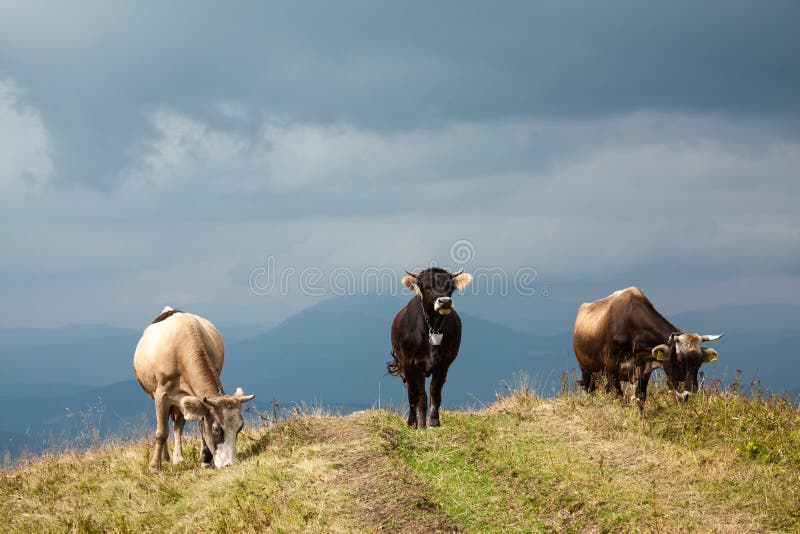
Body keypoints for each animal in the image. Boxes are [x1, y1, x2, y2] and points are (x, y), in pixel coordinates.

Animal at [133, 307, 255, 470]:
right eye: (217, 429)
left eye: (240, 427)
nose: (230, 464)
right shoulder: (161, 395)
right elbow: (161, 432)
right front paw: (154, 466)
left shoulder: (199, 399)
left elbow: (201, 424)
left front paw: (205, 460)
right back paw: (165, 457)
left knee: (178, 425)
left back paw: (178, 458)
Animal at [387, 267, 473, 428]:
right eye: (427, 287)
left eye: (450, 287)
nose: (445, 302)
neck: (432, 327)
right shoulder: (410, 364)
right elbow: (414, 394)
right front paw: (412, 423)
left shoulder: (444, 363)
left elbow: (435, 391)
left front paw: (433, 421)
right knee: (418, 395)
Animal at [573, 287, 723, 408]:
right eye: (679, 362)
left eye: (699, 363)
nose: (691, 394)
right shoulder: (611, 367)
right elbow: (619, 397)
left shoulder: (645, 367)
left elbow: (640, 397)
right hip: (586, 370)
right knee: (591, 391)